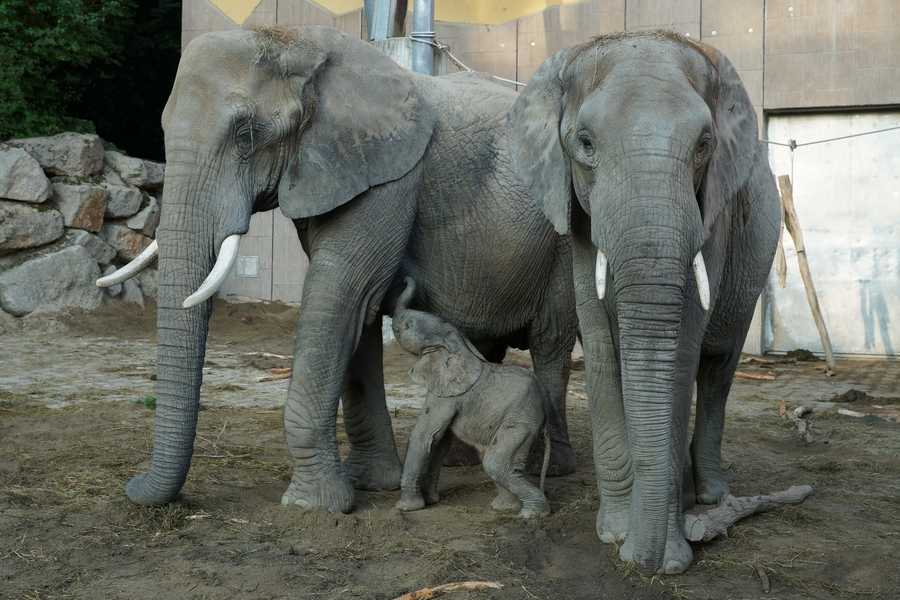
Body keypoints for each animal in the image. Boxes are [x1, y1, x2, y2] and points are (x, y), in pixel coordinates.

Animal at [391, 278, 551, 519]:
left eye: (406, 326)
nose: (405, 278)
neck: (456, 343)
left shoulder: (447, 394)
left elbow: (424, 436)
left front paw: (406, 507)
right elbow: (439, 440)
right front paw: (431, 501)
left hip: (522, 419)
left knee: (494, 462)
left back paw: (530, 514)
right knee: (508, 465)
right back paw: (505, 508)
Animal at [507, 31, 781, 573]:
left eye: (704, 145)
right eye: (585, 143)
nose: (648, 564)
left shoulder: (712, 215)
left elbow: (682, 350)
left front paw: (666, 555)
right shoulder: (579, 222)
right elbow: (598, 342)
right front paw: (615, 534)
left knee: (717, 369)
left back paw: (711, 496)